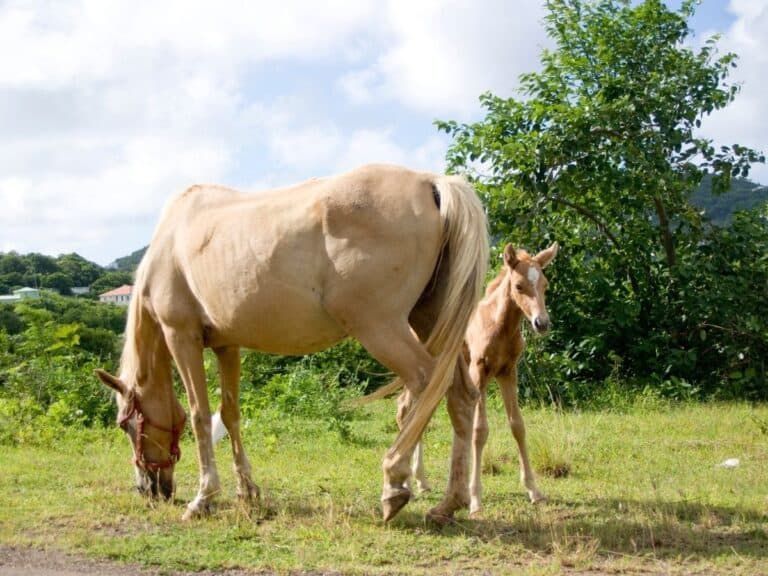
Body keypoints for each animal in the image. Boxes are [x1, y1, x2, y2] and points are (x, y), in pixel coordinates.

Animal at [95, 164, 489, 522]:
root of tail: (430, 183)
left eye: (125, 425)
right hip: (428, 319)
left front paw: (203, 497)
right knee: (460, 395)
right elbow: (230, 414)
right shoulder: (227, 346)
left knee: (426, 383)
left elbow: (199, 415)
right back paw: (449, 503)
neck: (171, 242)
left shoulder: (182, 337)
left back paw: (394, 483)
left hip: (382, 328)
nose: (149, 489)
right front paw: (247, 492)